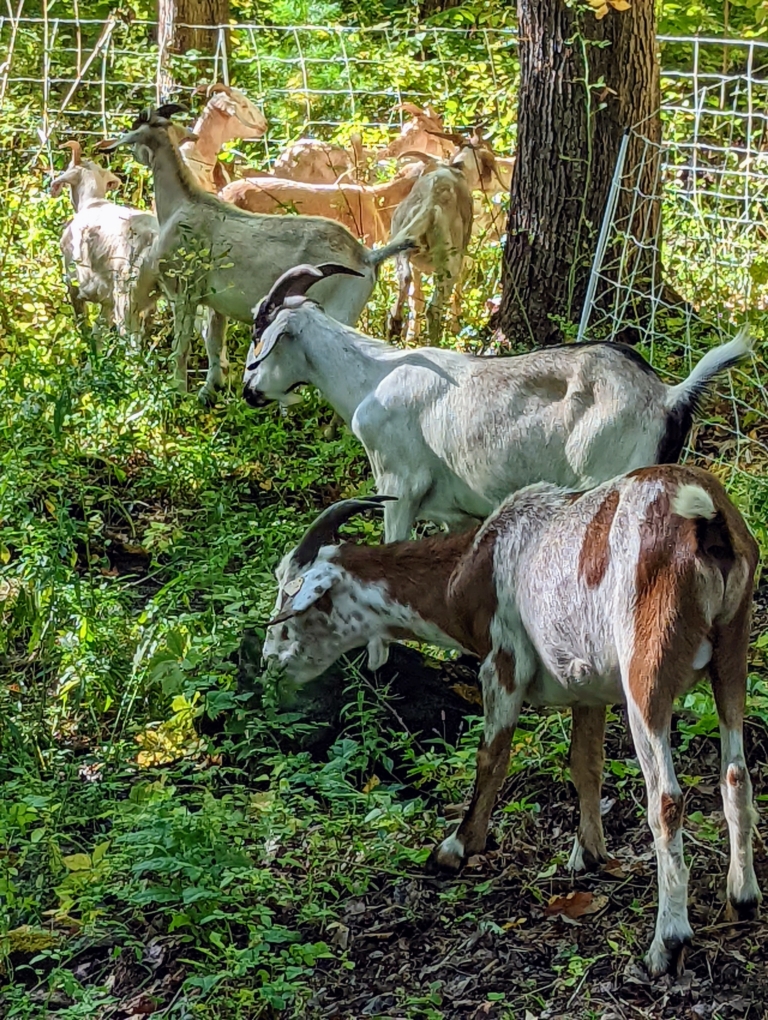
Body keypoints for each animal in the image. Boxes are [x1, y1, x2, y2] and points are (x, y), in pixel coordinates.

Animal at [51, 140, 158, 341]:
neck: (93, 202)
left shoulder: (73, 284)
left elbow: (85, 329)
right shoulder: (106, 302)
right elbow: (98, 335)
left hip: (126, 297)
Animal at [98, 106, 414, 404]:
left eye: (134, 127)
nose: (108, 147)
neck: (183, 204)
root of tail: (367, 256)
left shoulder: (185, 293)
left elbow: (182, 344)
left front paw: (179, 391)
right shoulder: (214, 303)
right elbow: (214, 343)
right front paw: (209, 391)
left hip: (339, 311)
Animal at [243, 265, 750, 542]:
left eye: (258, 333)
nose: (249, 391)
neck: (373, 374)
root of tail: (665, 396)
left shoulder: (399, 484)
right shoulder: (454, 513)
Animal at [262, 465, 761, 977]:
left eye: (289, 597)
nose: (268, 662)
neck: (472, 566)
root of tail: (703, 514)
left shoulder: (502, 664)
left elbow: (492, 756)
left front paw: (456, 847)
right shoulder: (586, 681)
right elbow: (585, 764)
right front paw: (587, 854)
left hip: (646, 667)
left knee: (665, 799)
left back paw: (668, 942)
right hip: (733, 652)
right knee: (736, 773)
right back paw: (741, 899)